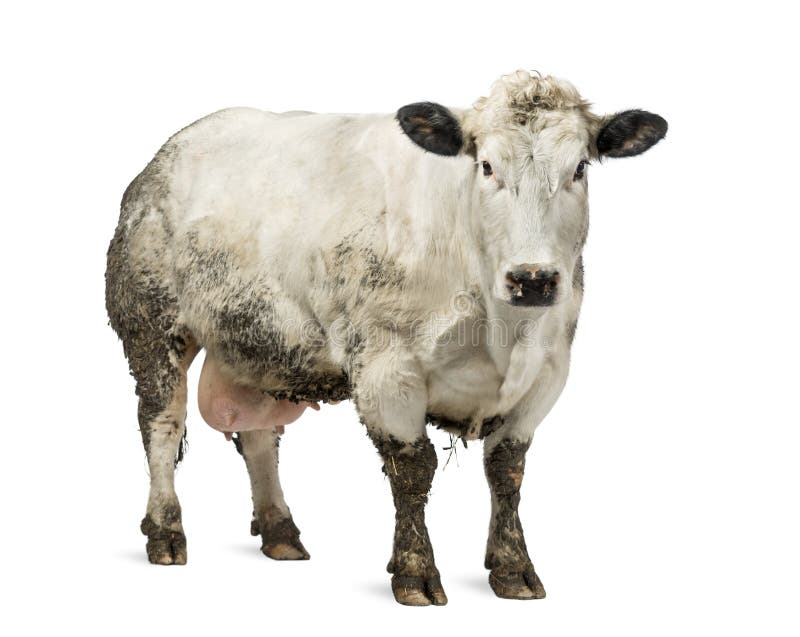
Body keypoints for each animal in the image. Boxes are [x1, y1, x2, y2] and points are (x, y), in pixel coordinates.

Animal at [105, 70, 666, 606]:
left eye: (579, 168)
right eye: (486, 166)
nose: (533, 278)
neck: (502, 328)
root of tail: (166, 155)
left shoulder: (548, 371)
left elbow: (507, 470)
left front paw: (513, 567)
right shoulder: (385, 366)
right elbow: (413, 468)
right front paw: (415, 572)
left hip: (259, 342)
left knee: (259, 436)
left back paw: (280, 530)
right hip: (151, 323)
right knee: (162, 425)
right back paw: (165, 531)